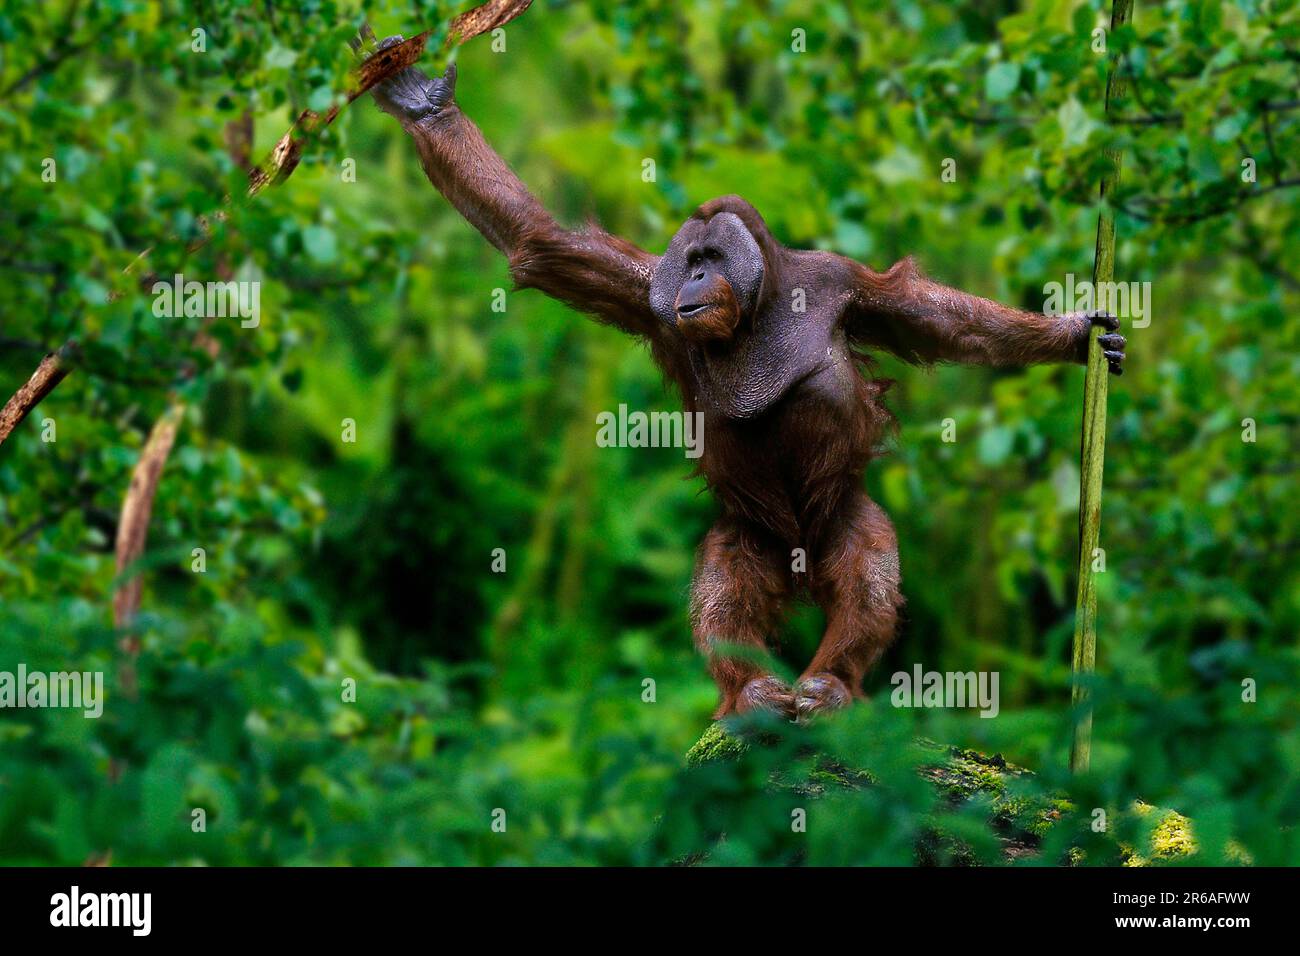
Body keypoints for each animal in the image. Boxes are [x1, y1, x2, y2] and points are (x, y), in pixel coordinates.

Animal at [370, 46, 1126, 719]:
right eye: (689, 260)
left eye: (711, 256)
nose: (698, 275)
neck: (752, 317)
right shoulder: (645, 291)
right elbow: (541, 246)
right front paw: (424, 103)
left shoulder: (842, 282)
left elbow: (934, 318)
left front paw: (1073, 336)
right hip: (748, 533)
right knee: (724, 597)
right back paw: (753, 695)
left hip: (842, 513)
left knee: (867, 581)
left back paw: (828, 689)